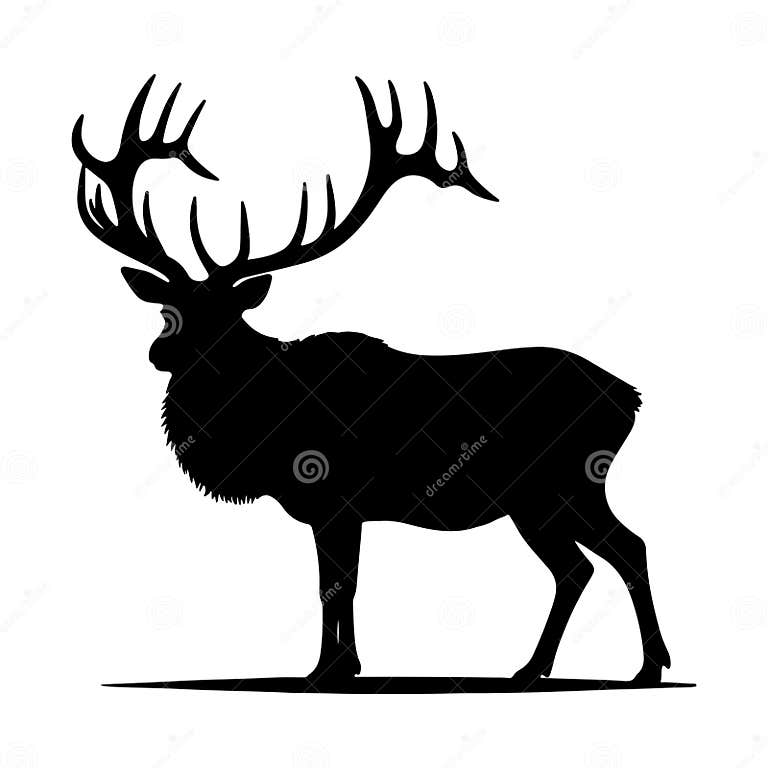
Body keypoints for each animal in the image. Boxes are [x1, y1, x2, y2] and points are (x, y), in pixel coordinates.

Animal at [73, 76, 671, 686]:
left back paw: (644, 667)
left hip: (565, 483)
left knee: (626, 549)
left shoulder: (335, 496)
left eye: (225, 317)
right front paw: (343, 664)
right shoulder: (336, 510)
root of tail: (632, 398)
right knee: (580, 566)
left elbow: (337, 586)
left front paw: (328, 670)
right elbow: (338, 584)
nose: (159, 352)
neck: (259, 432)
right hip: (538, 499)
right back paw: (538, 669)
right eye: (167, 309)